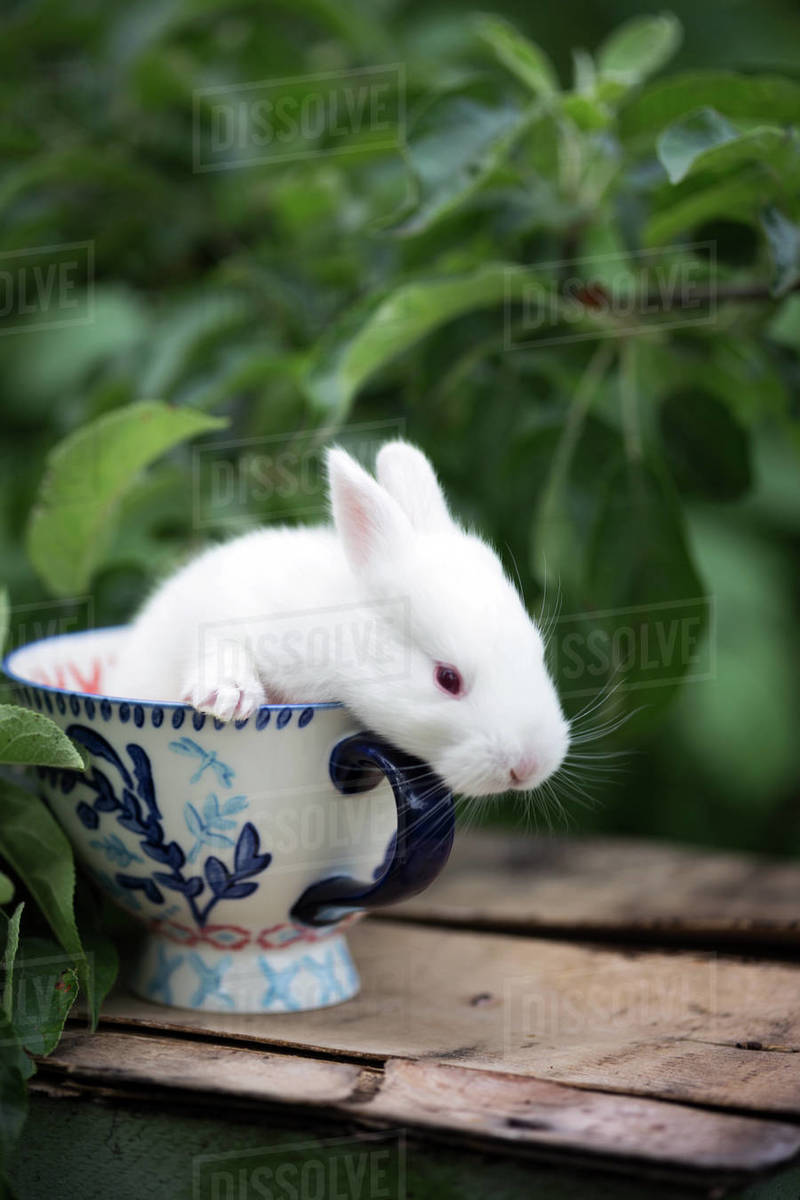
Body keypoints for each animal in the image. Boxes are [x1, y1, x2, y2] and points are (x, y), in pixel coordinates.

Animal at [106, 440, 570, 797]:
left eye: (537, 653)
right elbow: (221, 645)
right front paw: (228, 697)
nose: (529, 766)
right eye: (447, 678)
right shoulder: (235, 616)